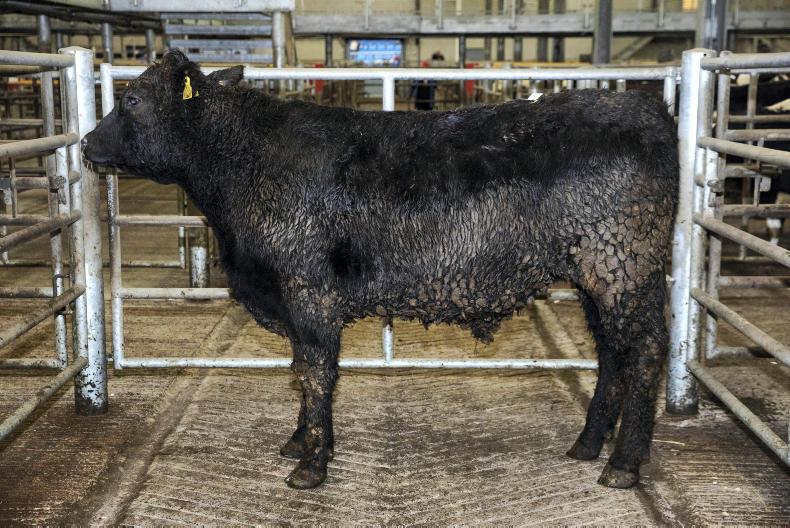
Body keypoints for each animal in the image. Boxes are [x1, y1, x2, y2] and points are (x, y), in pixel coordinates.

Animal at [82, 50, 678, 490]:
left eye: (131, 98)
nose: (86, 142)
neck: (244, 164)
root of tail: (646, 107)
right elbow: (303, 369)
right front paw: (301, 442)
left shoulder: (309, 290)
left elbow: (315, 371)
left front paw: (310, 467)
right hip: (598, 272)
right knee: (611, 350)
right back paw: (587, 444)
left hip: (623, 263)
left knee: (645, 350)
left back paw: (623, 465)